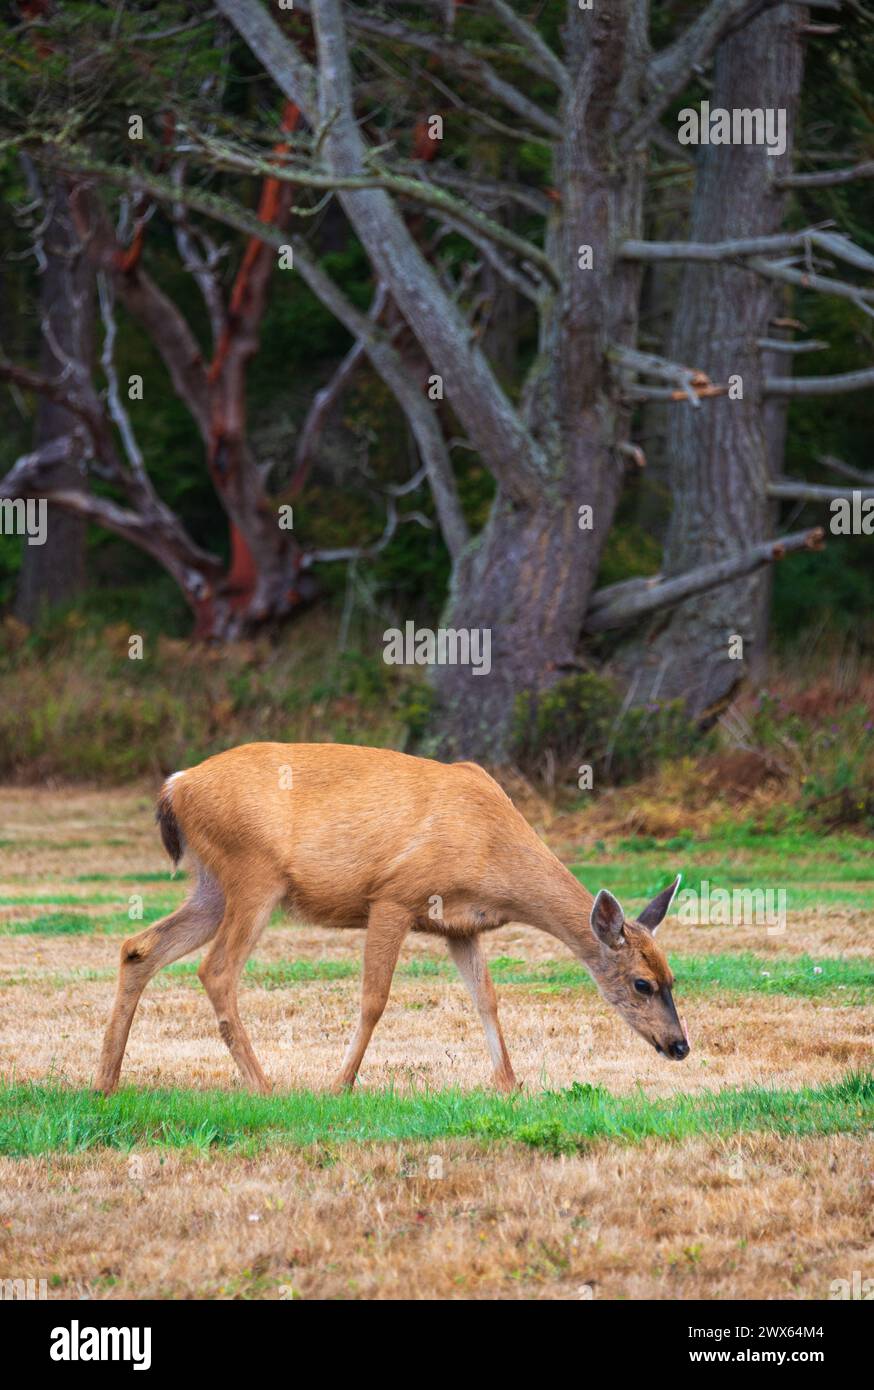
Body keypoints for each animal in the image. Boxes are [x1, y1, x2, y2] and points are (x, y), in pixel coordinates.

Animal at [95, 742, 689, 1095]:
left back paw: (105, 1080)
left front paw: (509, 1083)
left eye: (672, 978)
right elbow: (374, 999)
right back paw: (263, 1086)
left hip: (212, 884)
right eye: (642, 982)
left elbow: (487, 999)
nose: (680, 1046)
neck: (491, 851)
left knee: (139, 947)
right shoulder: (393, 896)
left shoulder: (460, 927)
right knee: (217, 970)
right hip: (253, 873)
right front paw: (340, 1084)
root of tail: (176, 785)